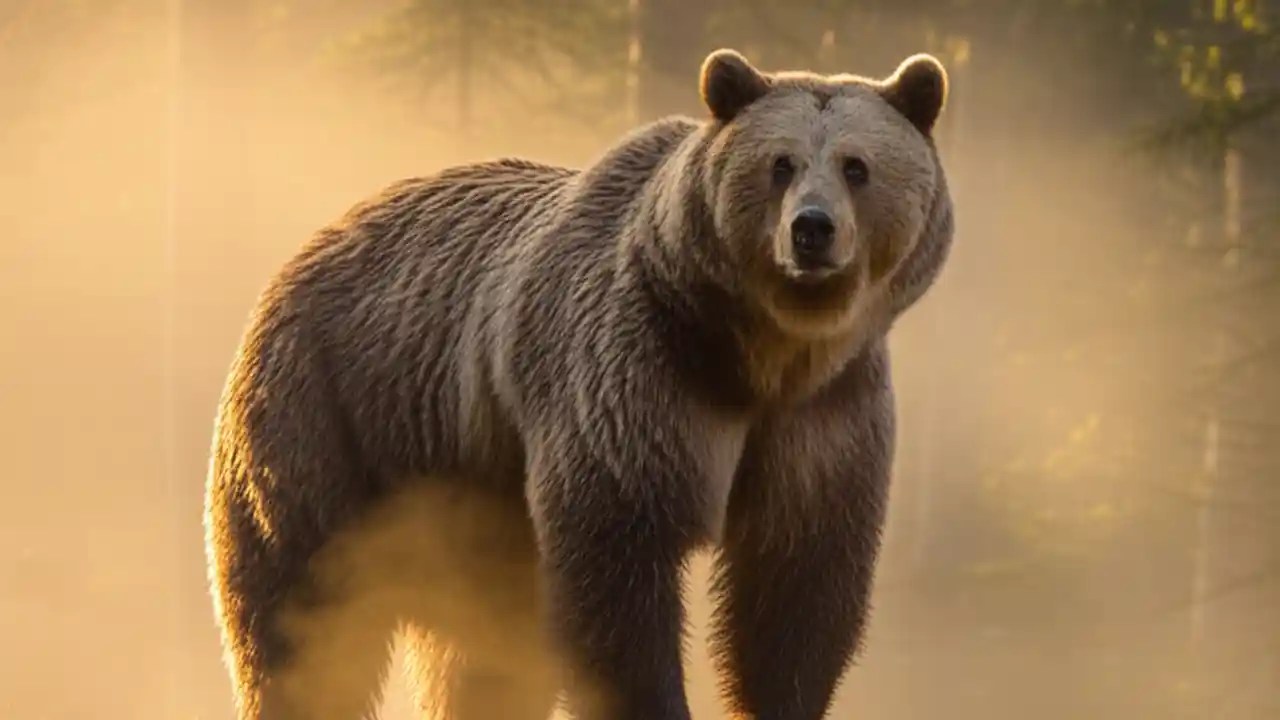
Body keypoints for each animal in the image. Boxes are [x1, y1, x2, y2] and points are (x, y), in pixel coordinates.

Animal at [205, 48, 954, 720]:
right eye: (780, 163)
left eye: (857, 166)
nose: (811, 230)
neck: (760, 356)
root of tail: (304, 252)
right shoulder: (633, 381)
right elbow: (618, 565)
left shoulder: (824, 419)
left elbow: (796, 586)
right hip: (326, 424)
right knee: (304, 621)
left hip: (463, 516)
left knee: (481, 659)